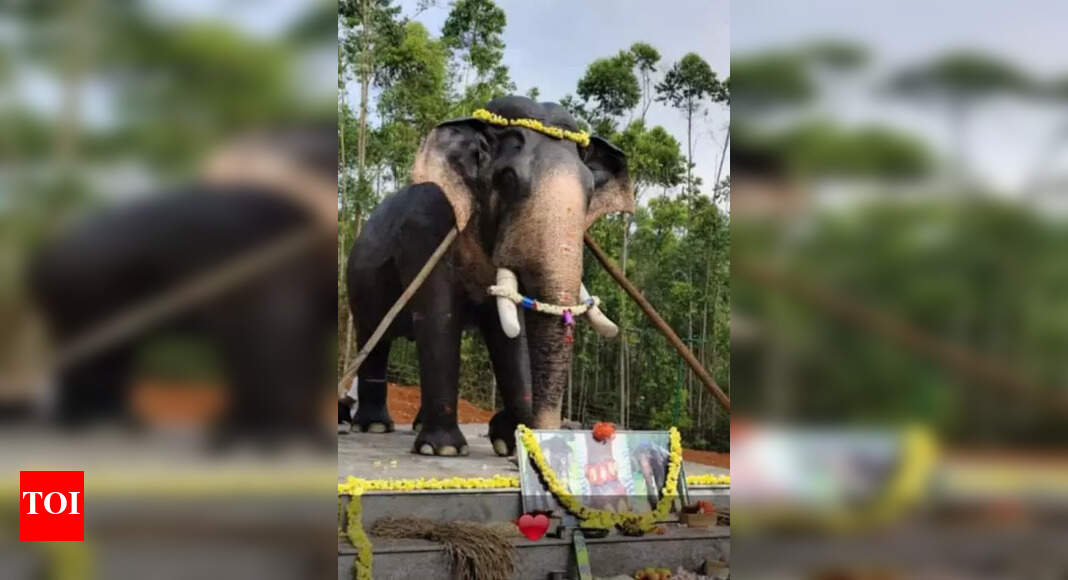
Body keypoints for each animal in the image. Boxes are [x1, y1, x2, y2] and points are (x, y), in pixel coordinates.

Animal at [344, 95, 634, 456]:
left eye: (591, 192)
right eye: (508, 179)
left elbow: (510, 333)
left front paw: (508, 441)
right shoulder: (427, 231)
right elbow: (440, 318)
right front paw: (444, 449)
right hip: (360, 282)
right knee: (375, 338)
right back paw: (375, 426)